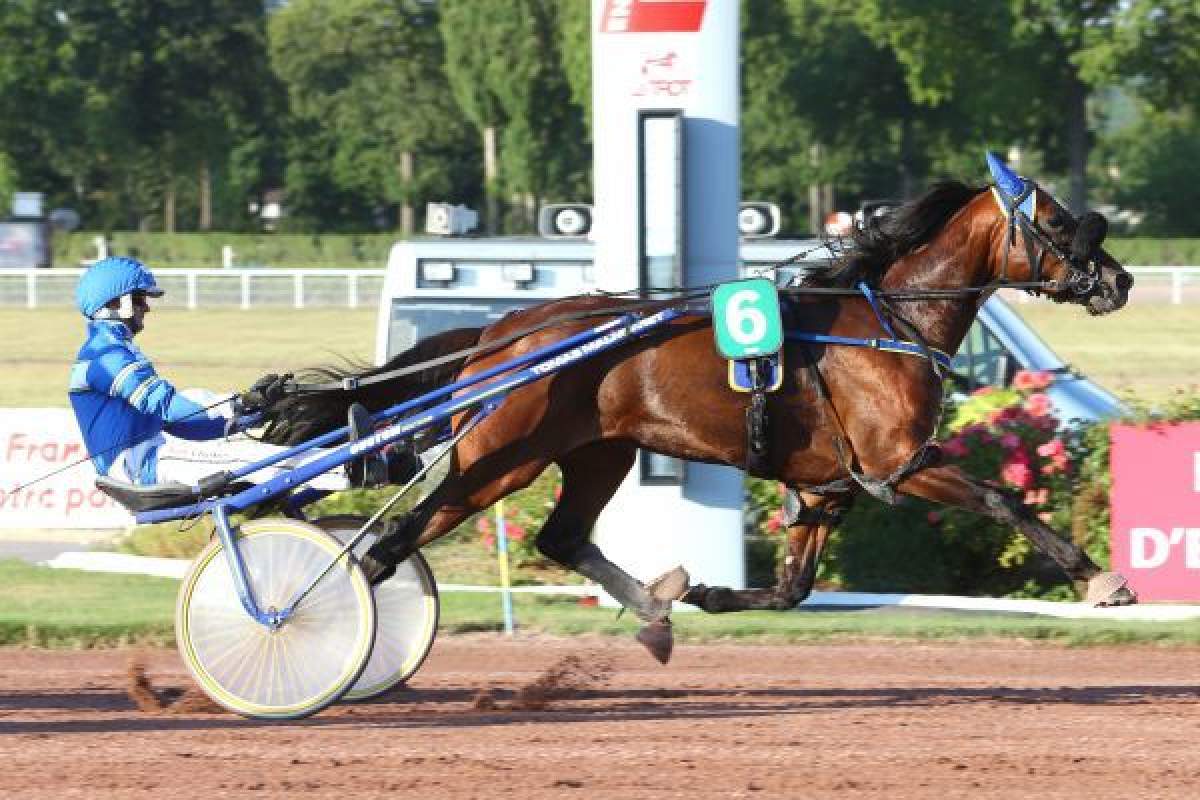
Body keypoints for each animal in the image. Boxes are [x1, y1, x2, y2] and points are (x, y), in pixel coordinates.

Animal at [261, 169, 1133, 662]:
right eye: (1059, 221)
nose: (1120, 280)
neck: (891, 322)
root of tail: (503, 331)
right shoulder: (900, 465)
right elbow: (1002, 499)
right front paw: (1098, 578)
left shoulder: (827, 488)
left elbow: (792, 589)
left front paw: (708, 594)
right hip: (499, 460)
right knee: (391, 543)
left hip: (597, 453)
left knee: (560, 537)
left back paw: (655, 603)